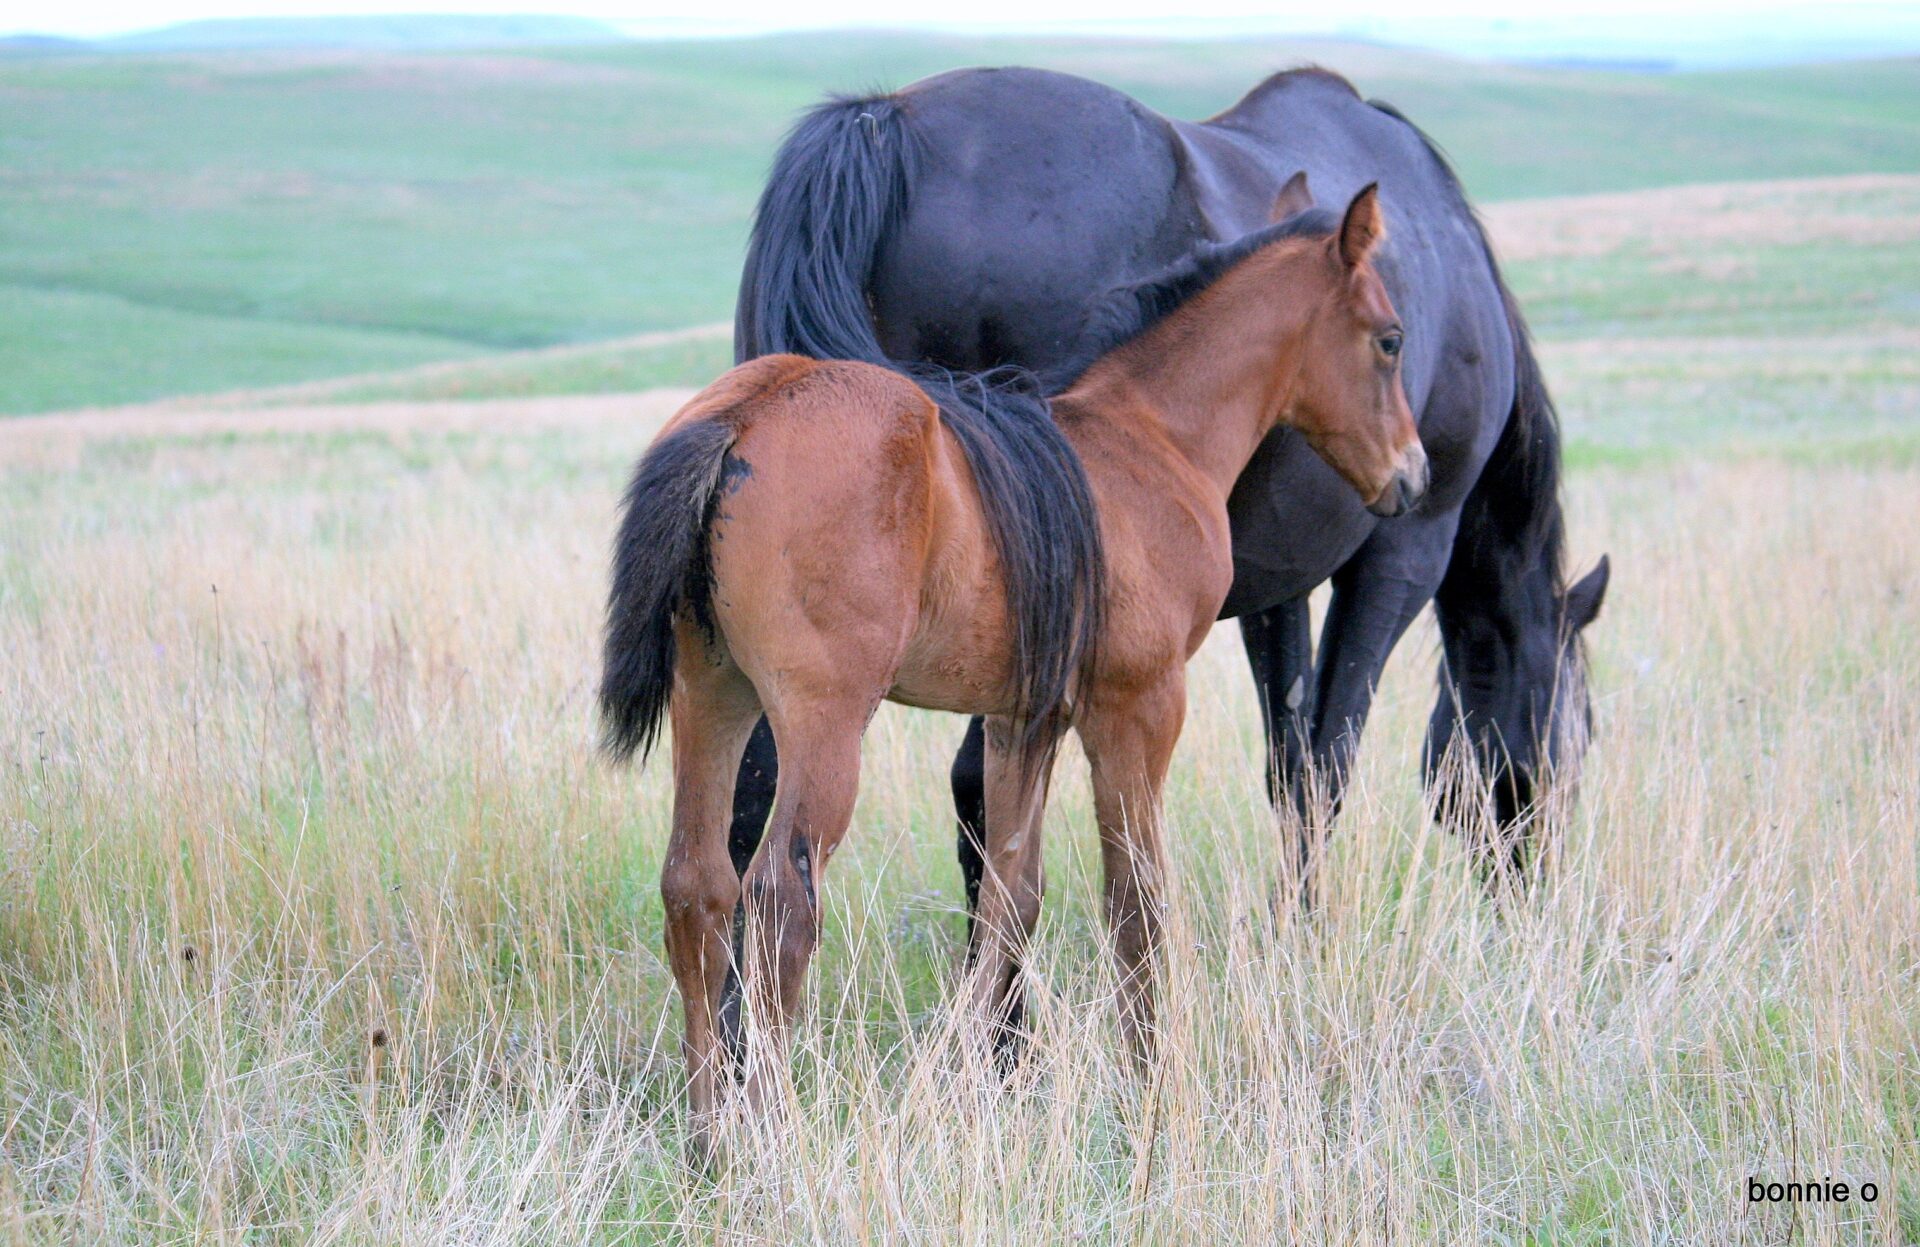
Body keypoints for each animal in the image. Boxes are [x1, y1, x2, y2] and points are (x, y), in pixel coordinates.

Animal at [601, 188, 1423, 1158]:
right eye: (1390, 338)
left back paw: (707, 1137)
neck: (1150, 439)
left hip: (713, 696)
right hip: (823, 721)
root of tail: (750, 411)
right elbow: (1137, 901)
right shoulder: (1139, 708)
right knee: (778, 901)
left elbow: (1011, 898)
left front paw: (974, 1078)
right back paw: (769, 1130)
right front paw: (1152, 1089)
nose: (1412, 475)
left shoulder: (1025, 719)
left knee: (698, 890)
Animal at [728, 66, 1610, 920]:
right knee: (969, 792)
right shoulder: (1405, 553)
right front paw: (1305, 930)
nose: (1538, 898)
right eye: (1581, 736)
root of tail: (885, 124)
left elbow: (1288, 756)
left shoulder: (1275, 586)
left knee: (755, 786)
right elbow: (1328, 755)